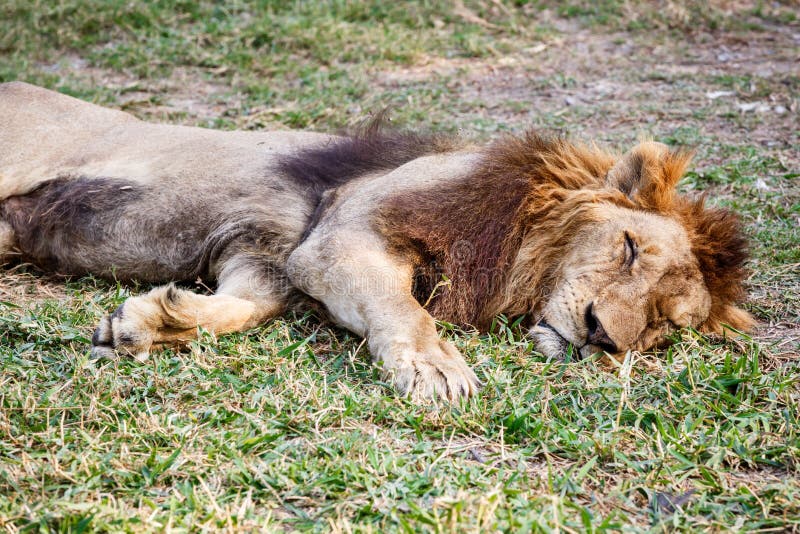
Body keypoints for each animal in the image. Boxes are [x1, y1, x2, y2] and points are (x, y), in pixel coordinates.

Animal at [0, 82, 754, 401]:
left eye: (661, 325)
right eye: (628, 248)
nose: (603, 334)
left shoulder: (267, 258)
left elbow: (240, 309)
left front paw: (152, 323)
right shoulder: (344, 233)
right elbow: (406, 311)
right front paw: (436, 369)